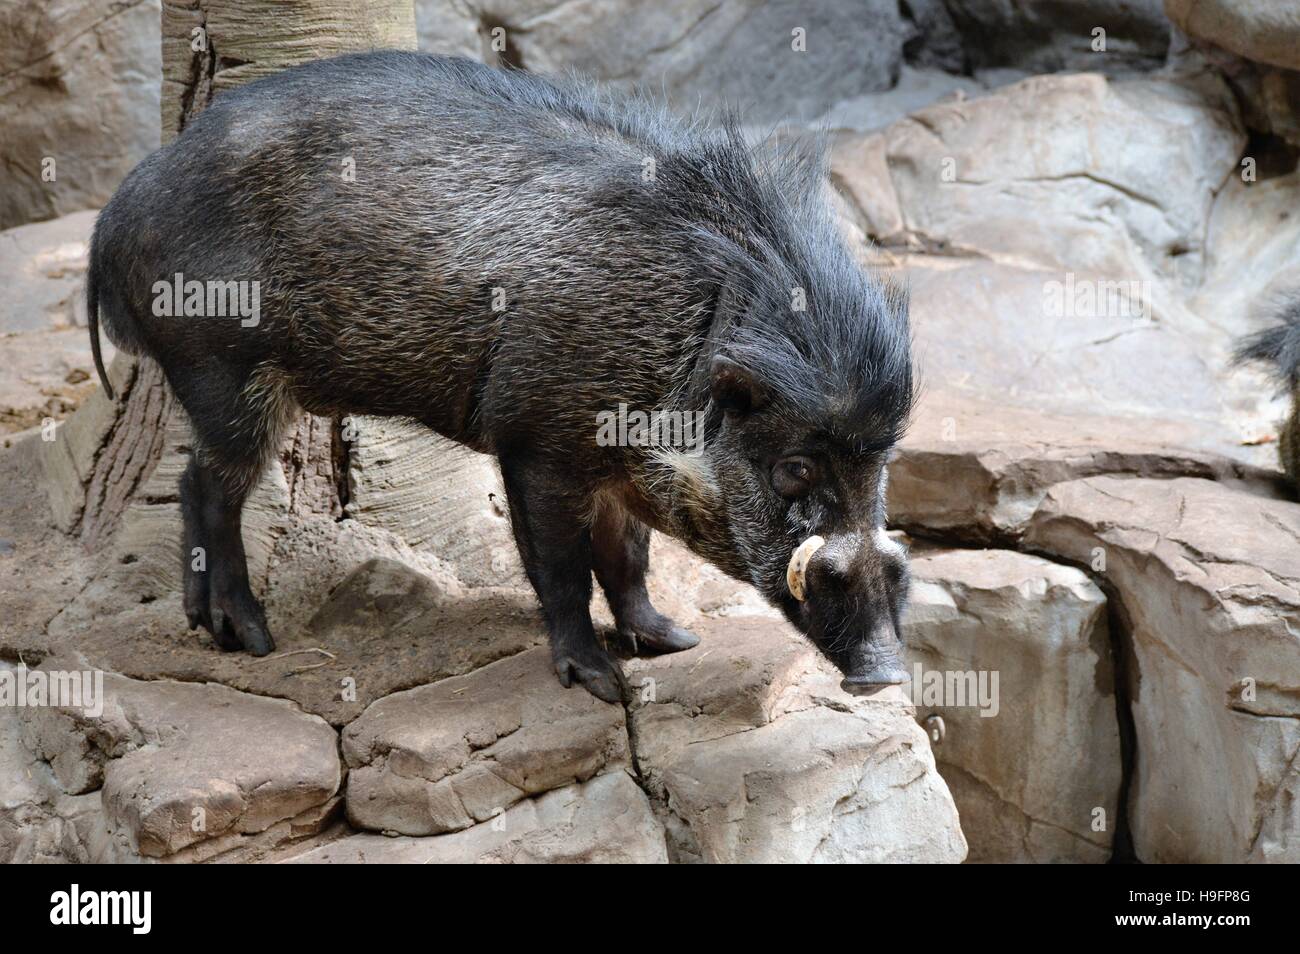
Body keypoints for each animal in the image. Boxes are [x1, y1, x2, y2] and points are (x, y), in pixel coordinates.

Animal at [88, 51, 915, 703]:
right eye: (794, 467)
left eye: (881, 465)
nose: (885, 675)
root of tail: (114, 215)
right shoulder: (536, 443)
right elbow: (563, 568)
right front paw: (599, 682)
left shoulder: (619, 465)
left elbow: (629, 560)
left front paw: (673, 642)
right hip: (220, 370)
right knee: (209, 485)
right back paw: (251, 637)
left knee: (194, 482)